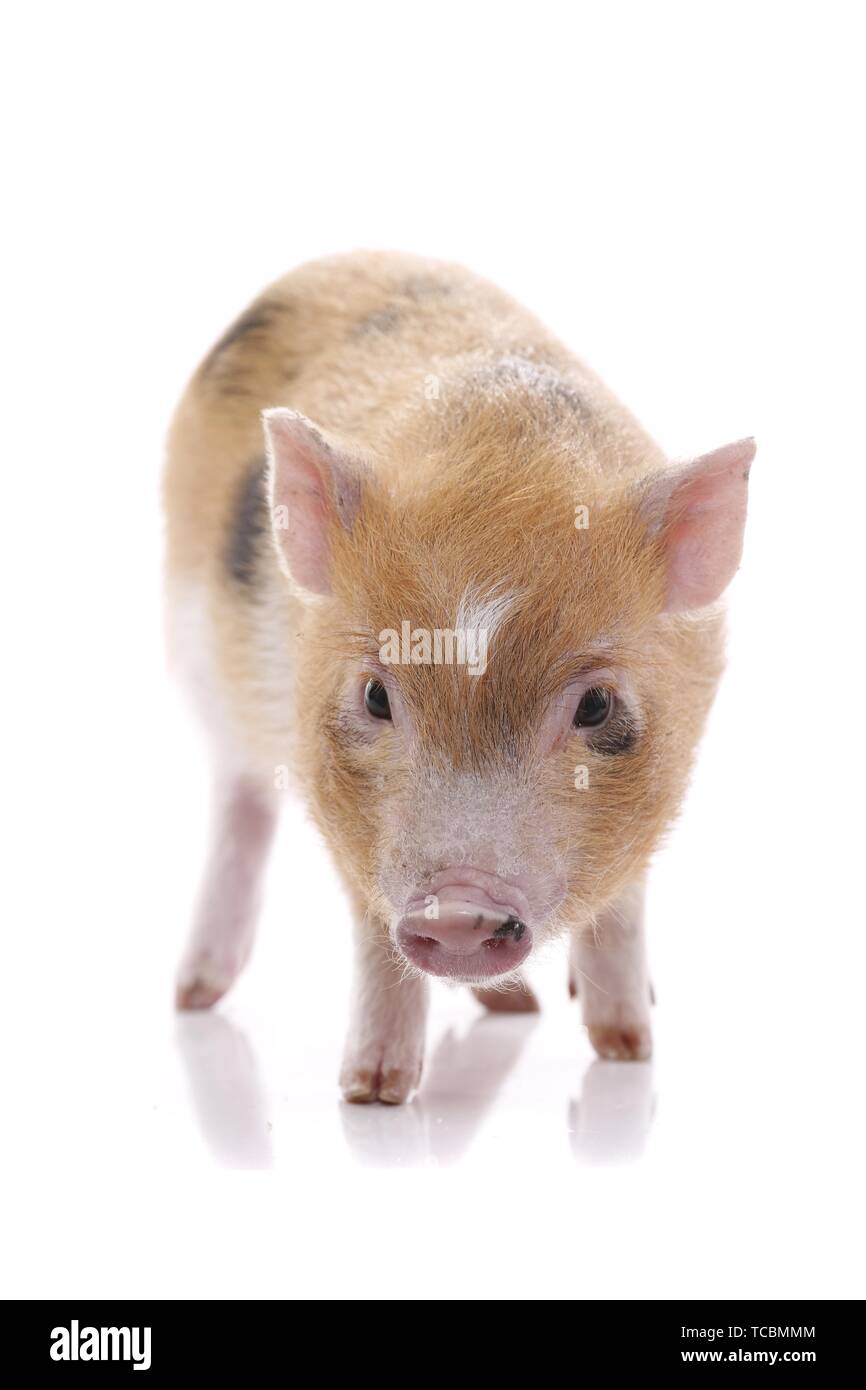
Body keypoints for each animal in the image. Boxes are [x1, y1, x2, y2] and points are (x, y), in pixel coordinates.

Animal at [164, 251, 753, 1103]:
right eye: (377, 696)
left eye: (596, 705)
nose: (459, 908)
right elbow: (377, 939)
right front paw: (373, 1093)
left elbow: (622, 913)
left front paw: (629, 1052)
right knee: (241, 797)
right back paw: (193, 996)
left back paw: (526, 1008)